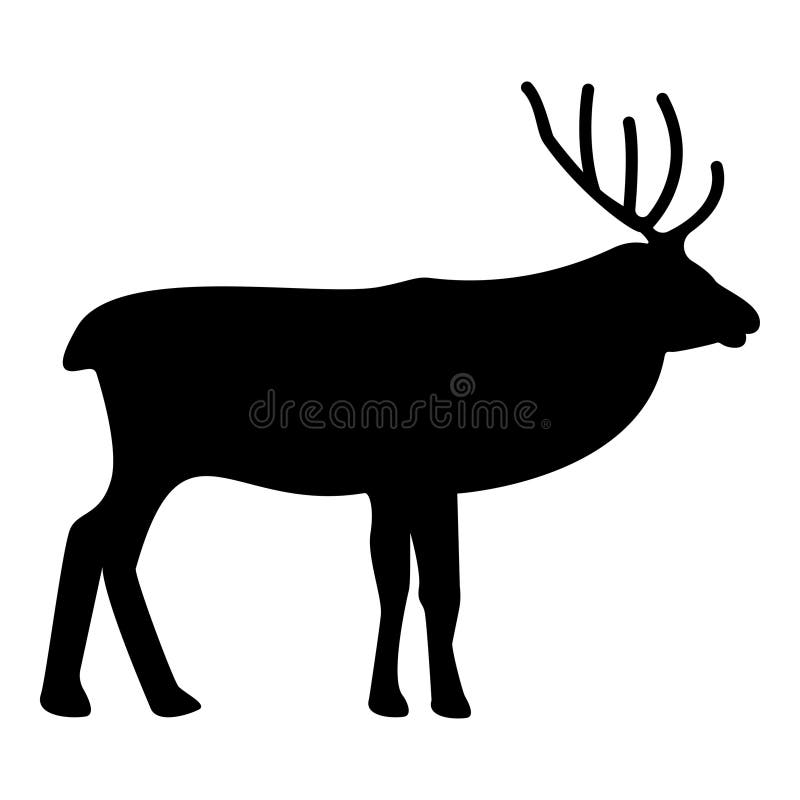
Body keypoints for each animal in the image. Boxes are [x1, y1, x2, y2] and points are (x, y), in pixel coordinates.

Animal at [41, 81, 759, 719]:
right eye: (678, 277)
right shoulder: (431, 471)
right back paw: (128, 697)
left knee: (97, 535)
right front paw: (447, 702)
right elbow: (439, 589)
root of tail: (81, 344)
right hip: (155, 451)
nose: (747, 316)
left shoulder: (394, 481)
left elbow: (396, 582)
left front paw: (390, 698)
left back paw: (104, 696)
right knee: (97, 534)